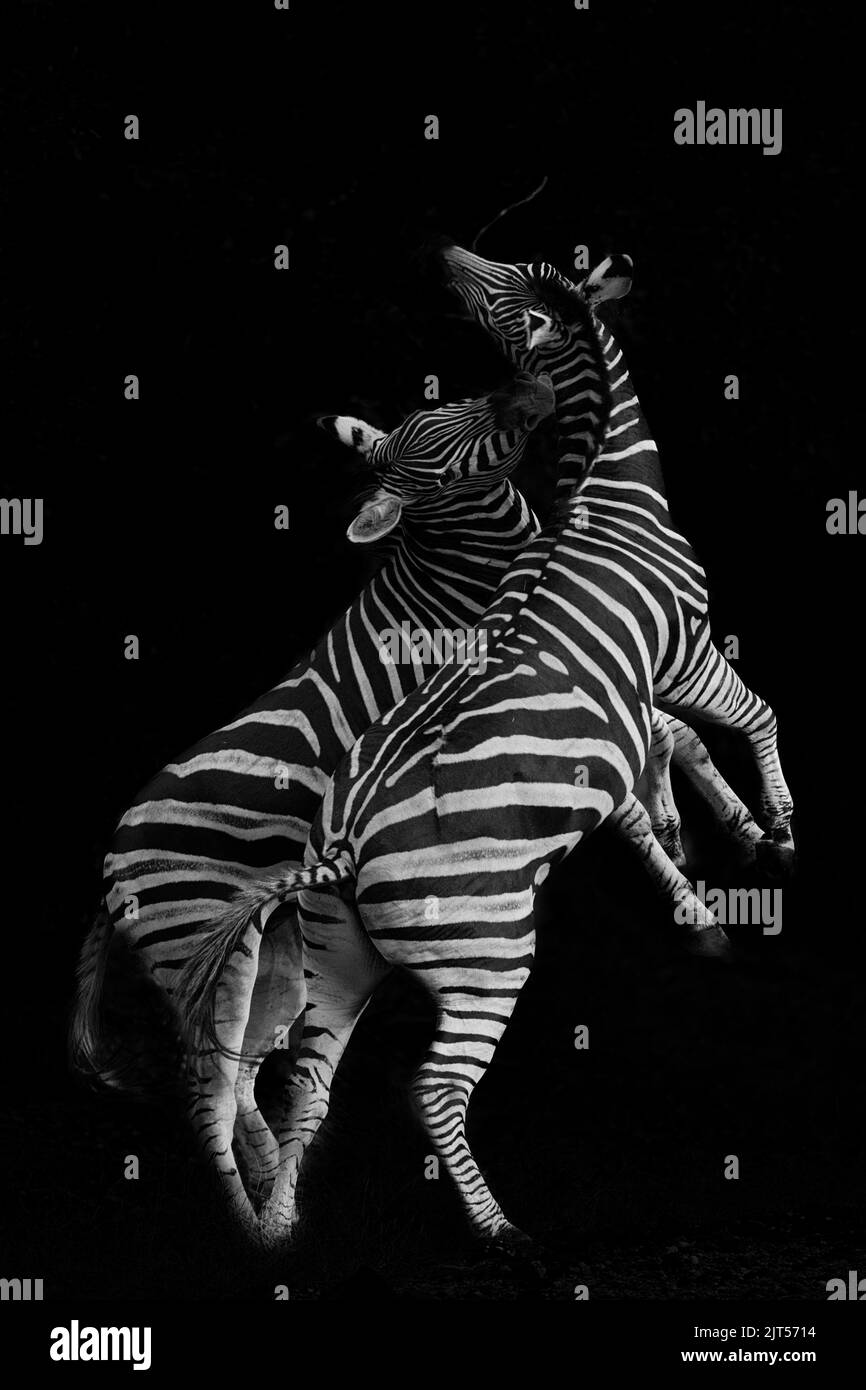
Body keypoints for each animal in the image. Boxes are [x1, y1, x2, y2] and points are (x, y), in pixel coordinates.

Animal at [177, 252, 754, 1250]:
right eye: (510, 306)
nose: (449, 256)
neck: (608, 493)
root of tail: (340, 848)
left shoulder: (622, 703)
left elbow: (654, 774)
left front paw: (693, 861)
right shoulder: (682, 651)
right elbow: (745, 720)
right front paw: (765, 832)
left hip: (338, 959)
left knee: (303, 1082)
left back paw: (283, 1225)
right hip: (487, 953)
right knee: (434, 1090)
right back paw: (499, 1229)